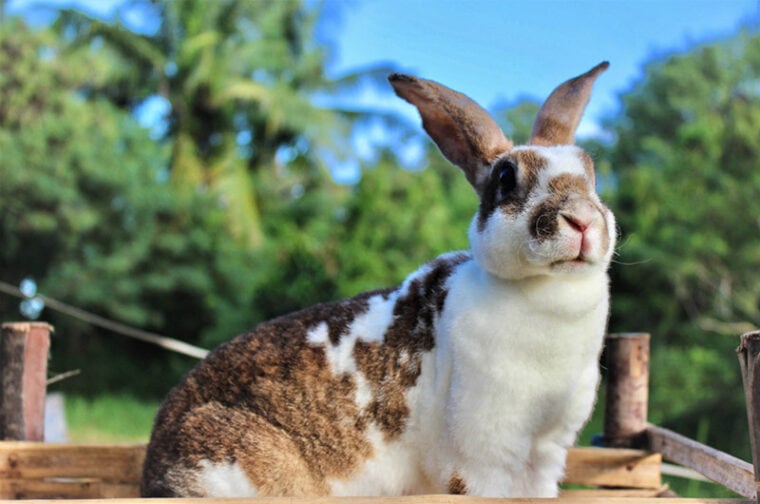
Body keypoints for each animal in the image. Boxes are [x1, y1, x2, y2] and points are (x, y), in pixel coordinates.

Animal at [141, 62, 616, 498]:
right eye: (506, 178)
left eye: (590, 173)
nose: (582, 220)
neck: (546, 291)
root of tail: (153, 466)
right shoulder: (484, 458)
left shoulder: (545, 456)